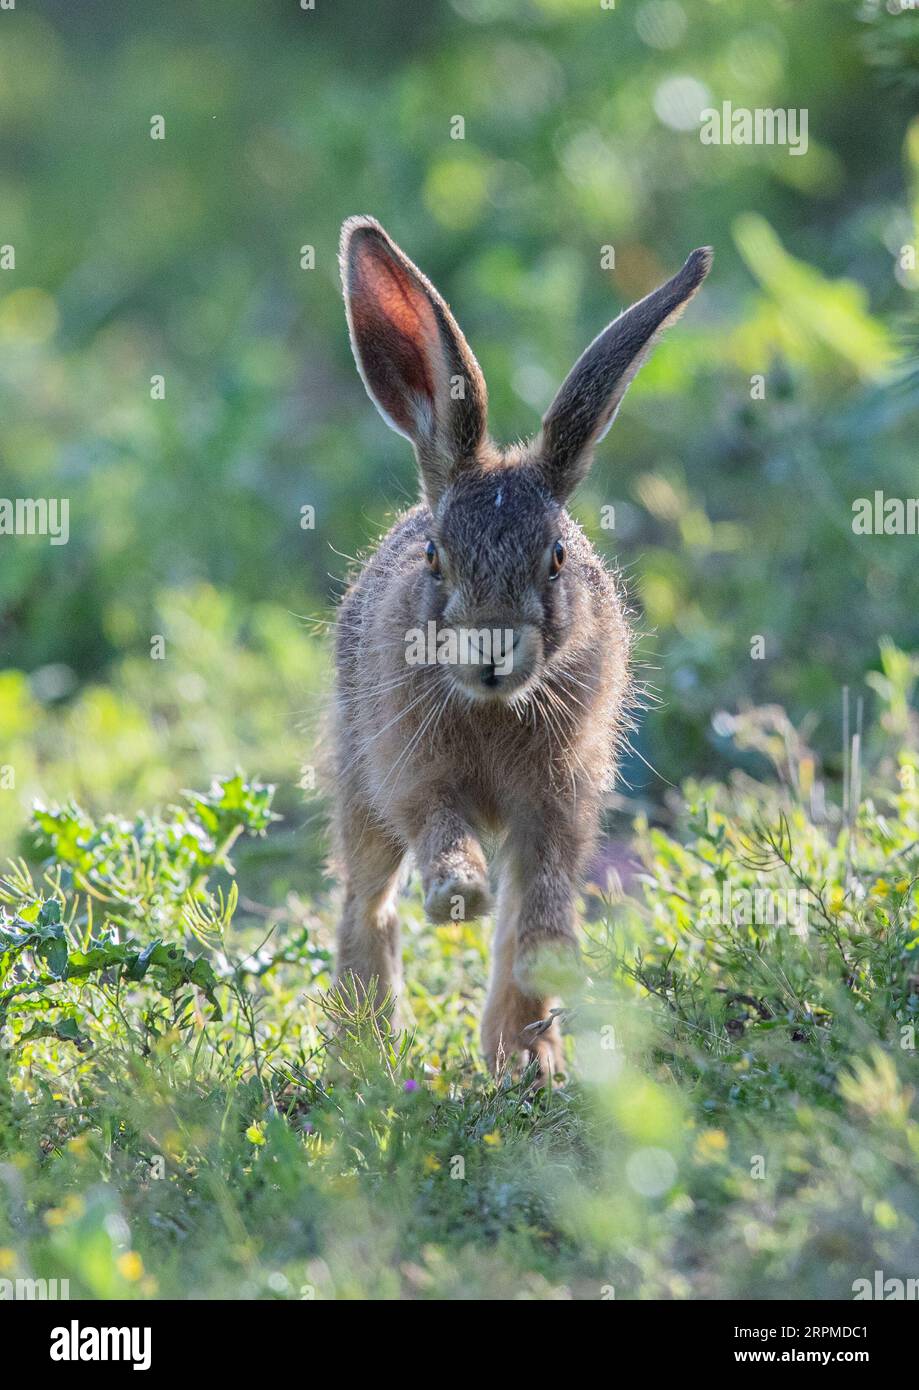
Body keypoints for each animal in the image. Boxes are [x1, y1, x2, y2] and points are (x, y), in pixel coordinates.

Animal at [332, 215, 711, 1080]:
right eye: (435, 559)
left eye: (557, 560)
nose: (491, 655)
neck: (492, 710)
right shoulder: (413, 774)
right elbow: (439, 839)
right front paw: (458, 898)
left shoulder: (559, 799)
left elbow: (538, 915)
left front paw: (532, 1041)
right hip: (356, 773)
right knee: (366, 902)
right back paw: (362, 1044)